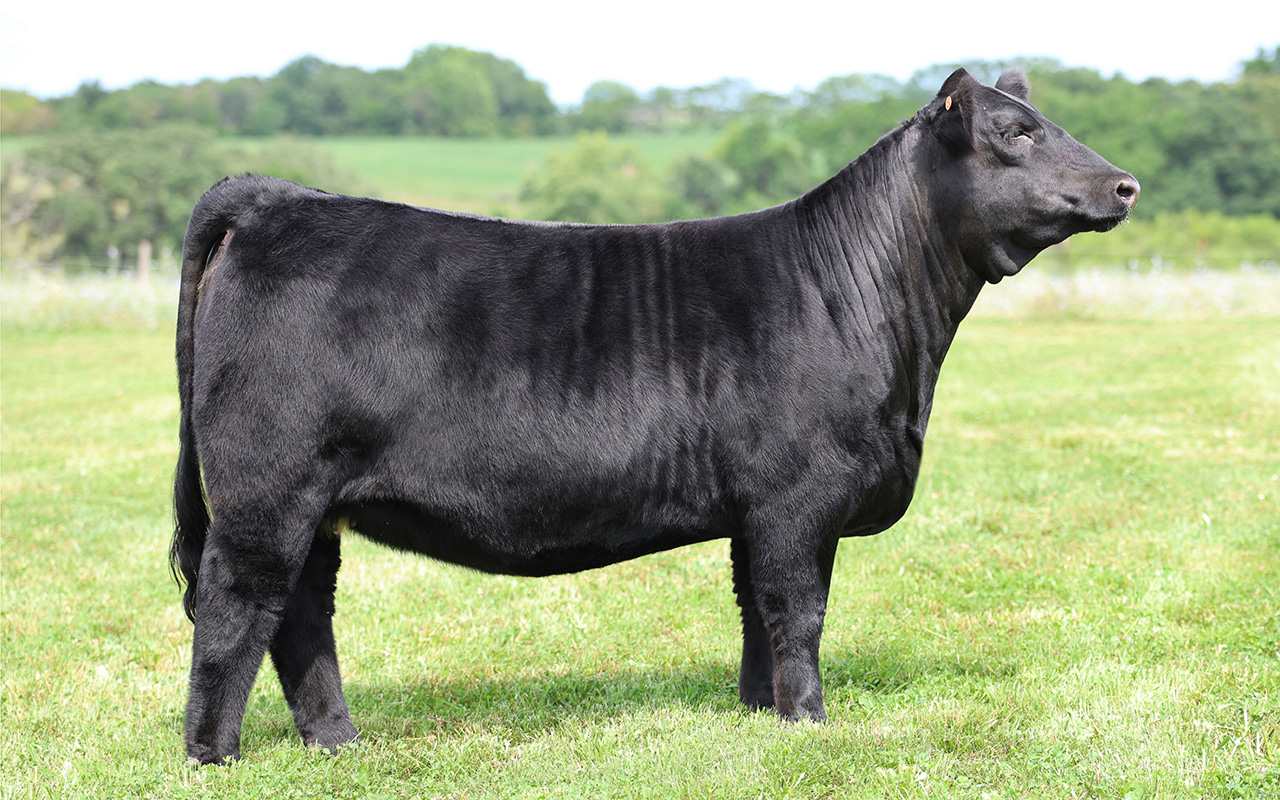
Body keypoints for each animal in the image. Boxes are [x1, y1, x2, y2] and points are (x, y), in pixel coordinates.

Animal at [171, 68, 1138, 764]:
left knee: (301, 615)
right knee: (235, 609)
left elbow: (754, 612)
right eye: (1016, 133)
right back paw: (214, 758)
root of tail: (277, 197)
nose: (1125, 184)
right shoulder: (797, 499)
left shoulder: (754, 509)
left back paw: (338, 744)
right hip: (268, 492)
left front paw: (758, 715)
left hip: (314, 506)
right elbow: (799, 610)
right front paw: (810, 724)